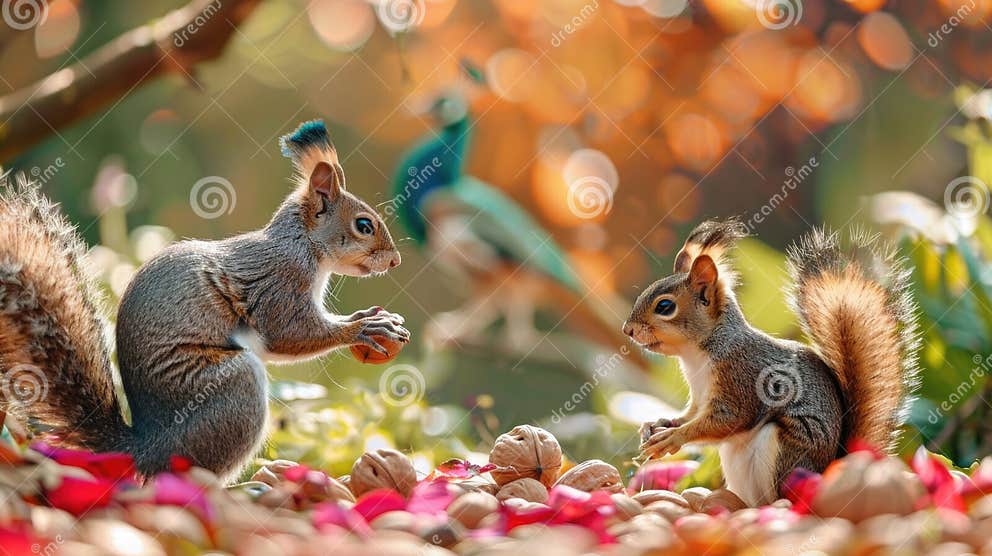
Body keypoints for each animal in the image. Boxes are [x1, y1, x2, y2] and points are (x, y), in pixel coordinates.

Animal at [0, 120, 410, 482]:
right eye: (364, 225)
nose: (395, 261)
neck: (302, 243)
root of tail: (145, 449)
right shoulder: (279, 283)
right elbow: (288, 333)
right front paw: (364, 327)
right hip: (234, 388)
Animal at [622, 219, 919, 506]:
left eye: (665, 307)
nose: (627, 330)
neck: (697, 354)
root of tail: (828, 473)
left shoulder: (743, 377)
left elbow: (728, 419)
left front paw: (673, 438)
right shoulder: (699, 396)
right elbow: (690, 414)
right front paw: (657, 424)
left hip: (784, 450)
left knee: (777, 498)